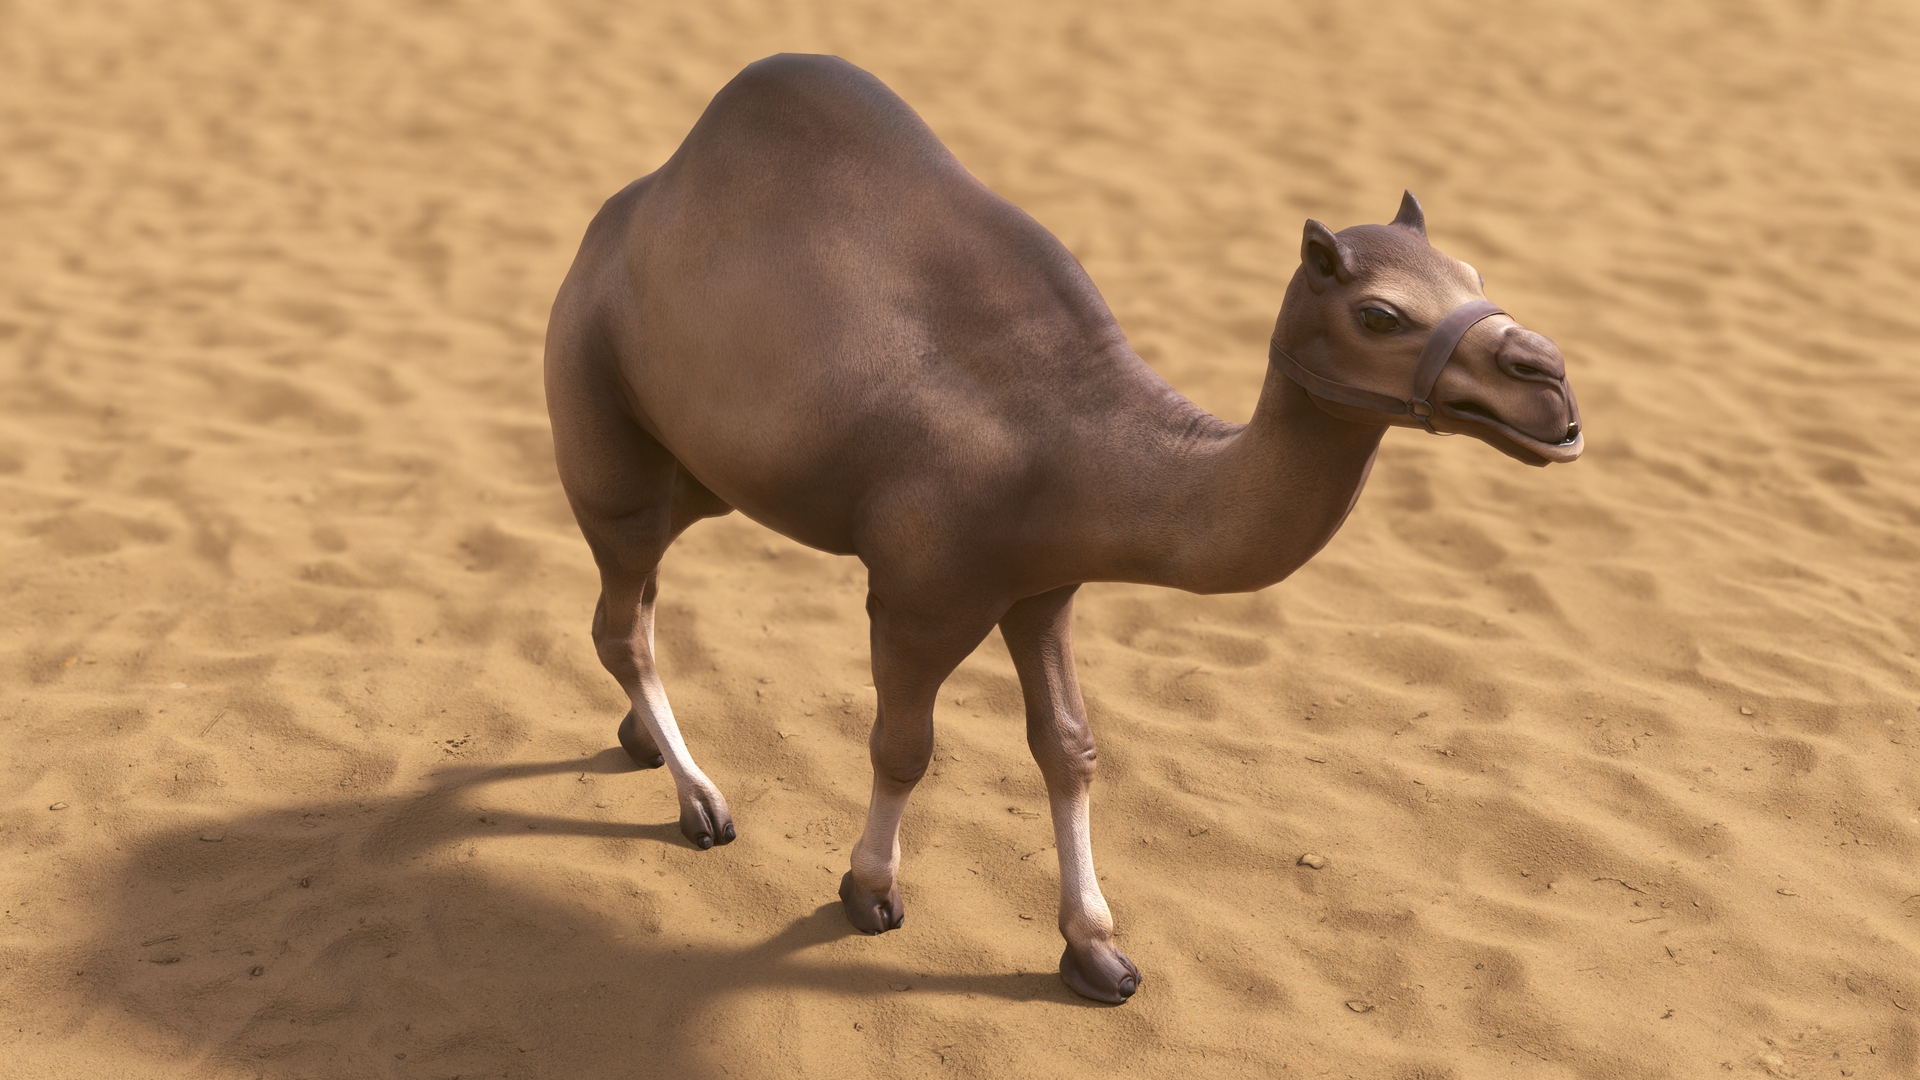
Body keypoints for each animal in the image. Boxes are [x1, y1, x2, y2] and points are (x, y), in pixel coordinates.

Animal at [543, 53, 1582, 1004]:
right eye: (1379, 313)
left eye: (1472, 271)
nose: (1551, 381)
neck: (1077, 441)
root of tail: (620, 213)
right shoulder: (922, 593)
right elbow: (903, 745)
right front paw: (868, 891)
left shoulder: (1043, 583)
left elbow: (1071, 747)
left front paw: (1096, 950)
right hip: (603, 425)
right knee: (623, 616)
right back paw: (700, 800)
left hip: (696, 476)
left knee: (636, 597)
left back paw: (642, 741)